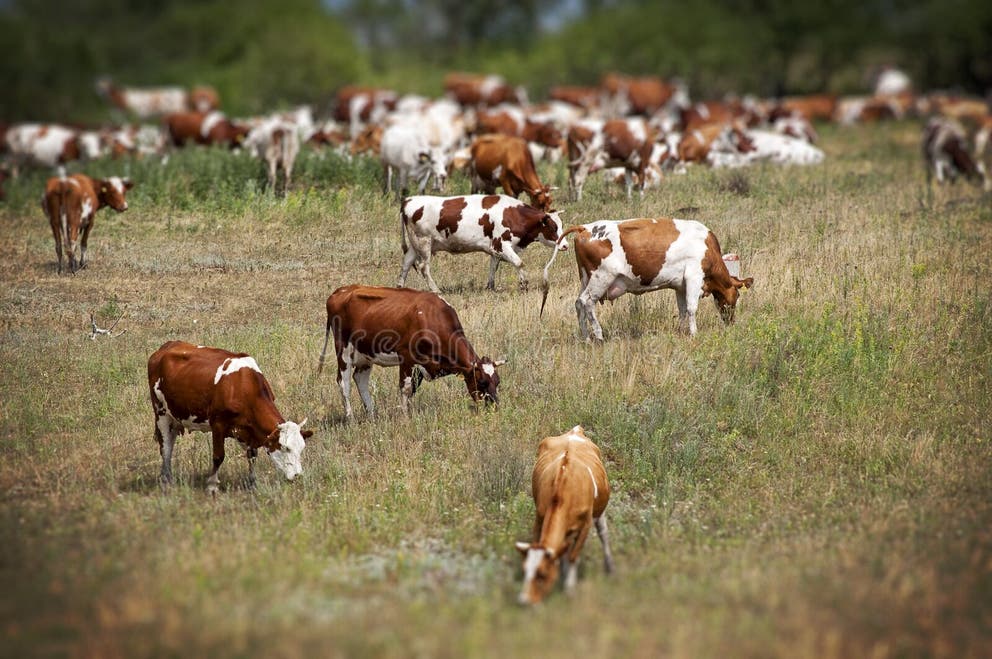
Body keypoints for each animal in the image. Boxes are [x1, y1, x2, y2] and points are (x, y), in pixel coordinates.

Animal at [147, 341, 313, 494]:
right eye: (286, 448)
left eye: (302, 448)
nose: (297, 475)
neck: (243, 386)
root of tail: (166, 346)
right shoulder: (218, 424)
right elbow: (218, 456)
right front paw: (212, 486)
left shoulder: (247, 431)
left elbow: (252, 456)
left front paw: (253, 484)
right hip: (161, 412)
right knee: (166, 447)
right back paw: (166, 480)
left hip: (175, 417)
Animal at [317, 285, 505, 419]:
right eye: (482, 382)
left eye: (497, 382)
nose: (495, 407)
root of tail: (340, 291)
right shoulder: (406, 357)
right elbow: (406, 388)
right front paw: (405, 416)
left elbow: (413, 389)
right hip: (343, 351)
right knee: (344, 382)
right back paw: (350, 418)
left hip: (365, 354)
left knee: (360, 379)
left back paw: (371, 414)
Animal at [398, 194, 566, 292]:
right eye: (553, 227)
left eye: (561, 225)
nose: (565, 245)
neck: (514, 214)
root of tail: (408, 200)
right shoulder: (502, 244)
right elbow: (519, 263)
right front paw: (524, 285)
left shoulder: (495, 248)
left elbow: (493, 267)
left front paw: (490, 288)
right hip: (424, 242)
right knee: (423, 267)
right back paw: (436, 290)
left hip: (415, 245)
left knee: (406, 263)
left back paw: (399, 287)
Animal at [515, 425, 614, 605]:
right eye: (525, 570)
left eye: (542, 574)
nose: (523, 600)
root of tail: (574, 431)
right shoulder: (540, 517)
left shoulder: (586, 525)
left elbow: (574, 556)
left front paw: (569, 589)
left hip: (599, 511)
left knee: (603, 533)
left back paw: (610, 567)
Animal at [540, 218, 753, 339]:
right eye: (737, 296)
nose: (731, 322)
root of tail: (585, 228)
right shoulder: (694, 276)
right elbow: (692, 308)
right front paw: (694, 334)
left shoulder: (680, 285)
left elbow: (682, 309)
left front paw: (681, 331)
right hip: (601, 278)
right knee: (587, 302)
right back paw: (599, 336)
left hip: (586, 278)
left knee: (578, 303)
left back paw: (585, 336)